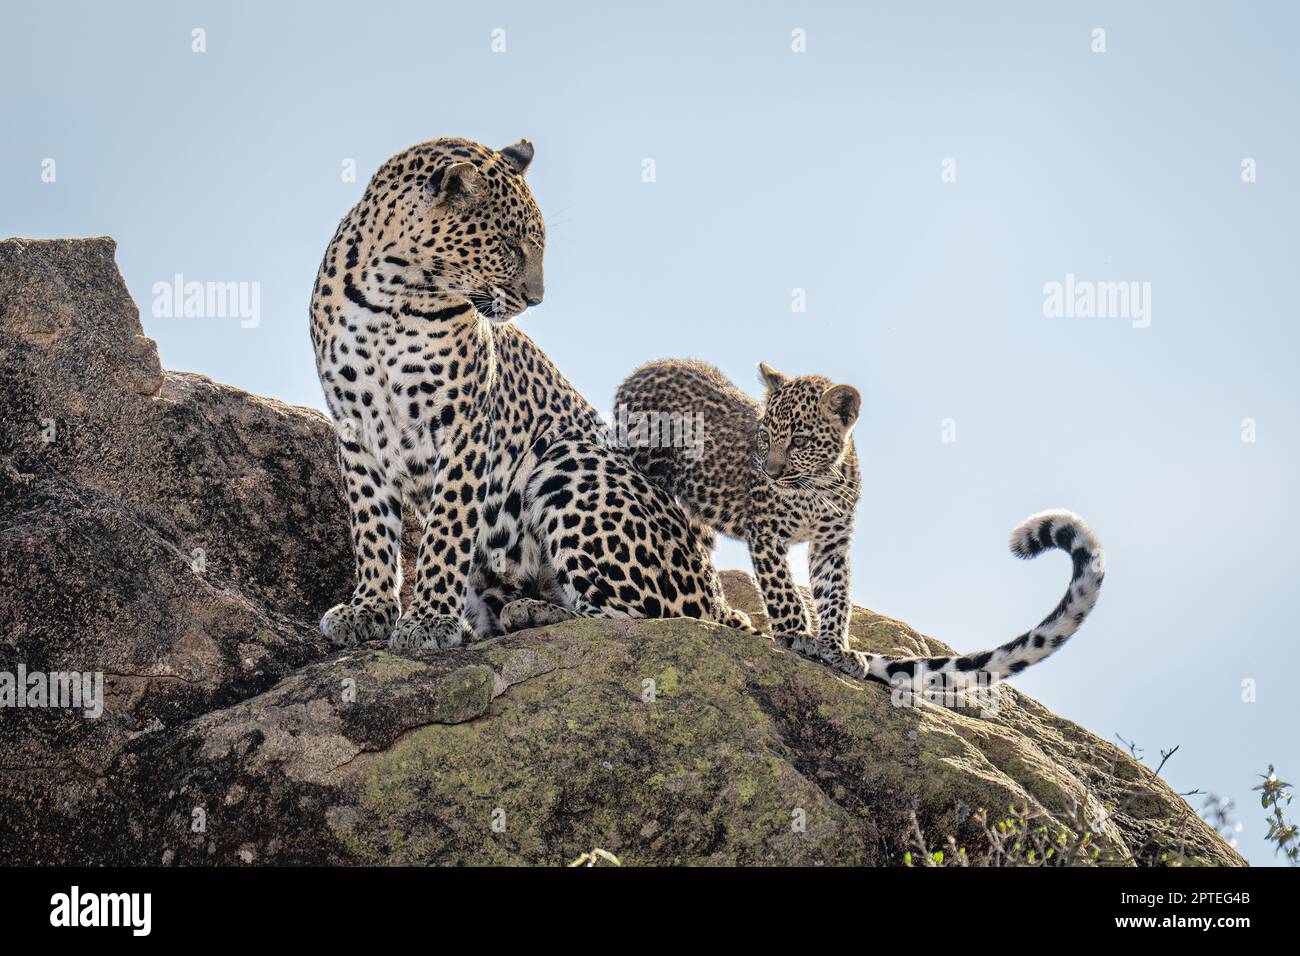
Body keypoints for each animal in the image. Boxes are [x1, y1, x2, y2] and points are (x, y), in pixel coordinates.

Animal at [309, 136, 750, 653]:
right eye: (509, 245)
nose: (535, 300)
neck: (391, 294)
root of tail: (716, 593)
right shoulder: (356, 427)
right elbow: (371, 527)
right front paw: (369, 610)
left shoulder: (463, 426)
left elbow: (446, 528)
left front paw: (429, 620)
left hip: (569, 460)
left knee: (639, 619)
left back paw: (531, 612)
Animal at [614, 358, 1107, 689]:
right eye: (766, 434)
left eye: (799, 440)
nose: (770, 471)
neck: (817, 485)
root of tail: (643, 368)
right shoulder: (766, 534)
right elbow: (783, 591)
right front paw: (796, 634)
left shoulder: (832, 544)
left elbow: (836, 596)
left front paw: (835, 647)